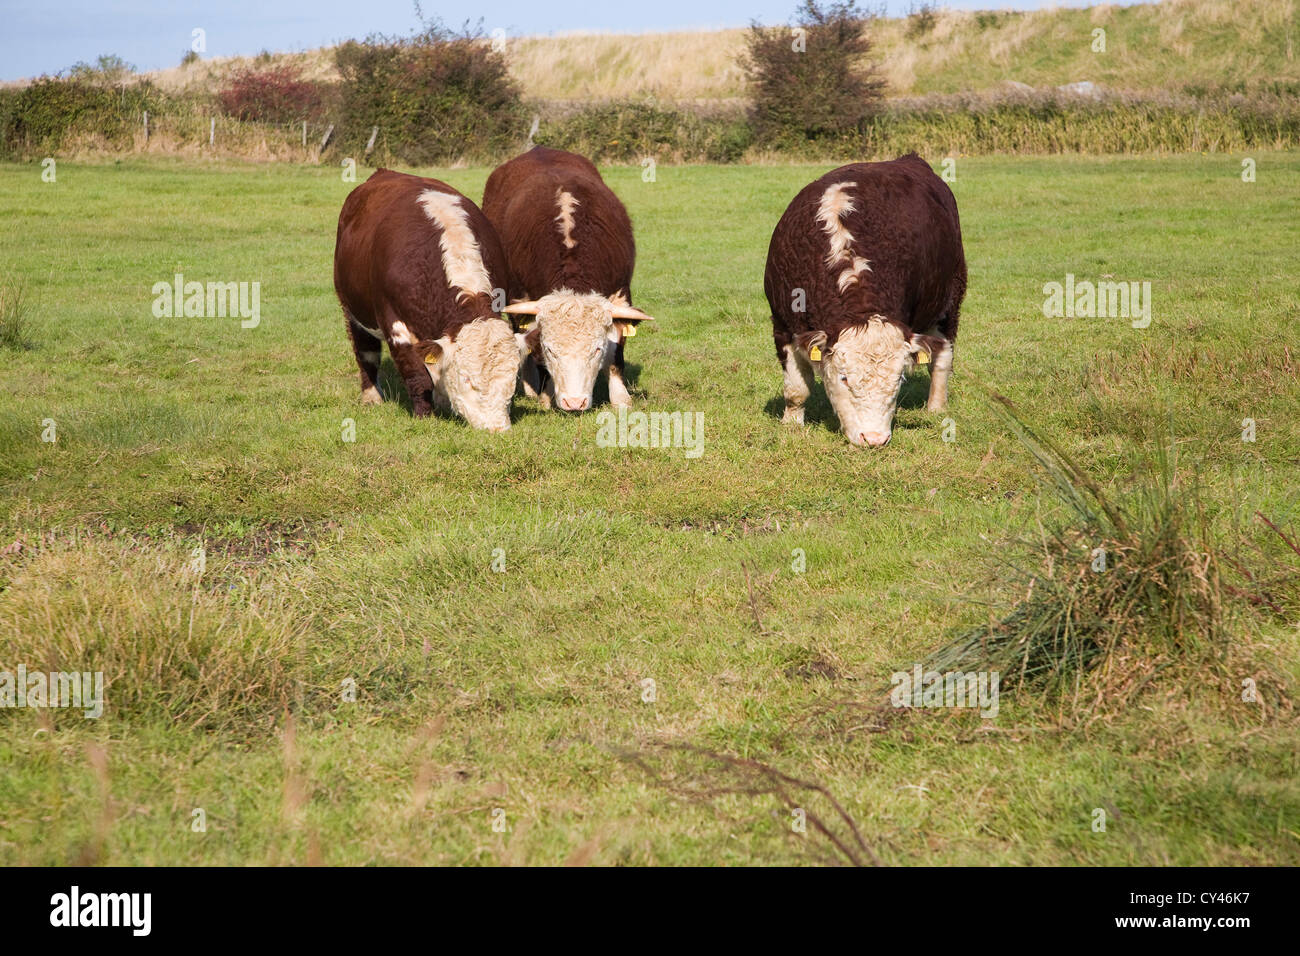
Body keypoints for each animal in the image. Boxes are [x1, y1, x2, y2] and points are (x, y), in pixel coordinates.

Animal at [334, 169, 523, 432]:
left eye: (512, 378)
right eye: (466, 378)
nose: (497, 428)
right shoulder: (395, 326)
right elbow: (416, 374)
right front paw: (424, 415)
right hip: (352, 311)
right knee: (366, 353)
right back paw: (371, 396)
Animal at [481, 146, 654, 413]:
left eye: (596, 349)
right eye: (551, 350)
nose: (574, 402)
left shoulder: (620, 294)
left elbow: (616, 352)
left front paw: (620, 397)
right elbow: (533, 348)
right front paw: (545, 395)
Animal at [764, 154, 966, 447]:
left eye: (899, 379)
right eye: (844, 378)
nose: (874, 438)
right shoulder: (783, 324)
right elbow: (796, 388)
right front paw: (791, 424)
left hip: (950, 302)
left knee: (941, 358)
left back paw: (936, 407)